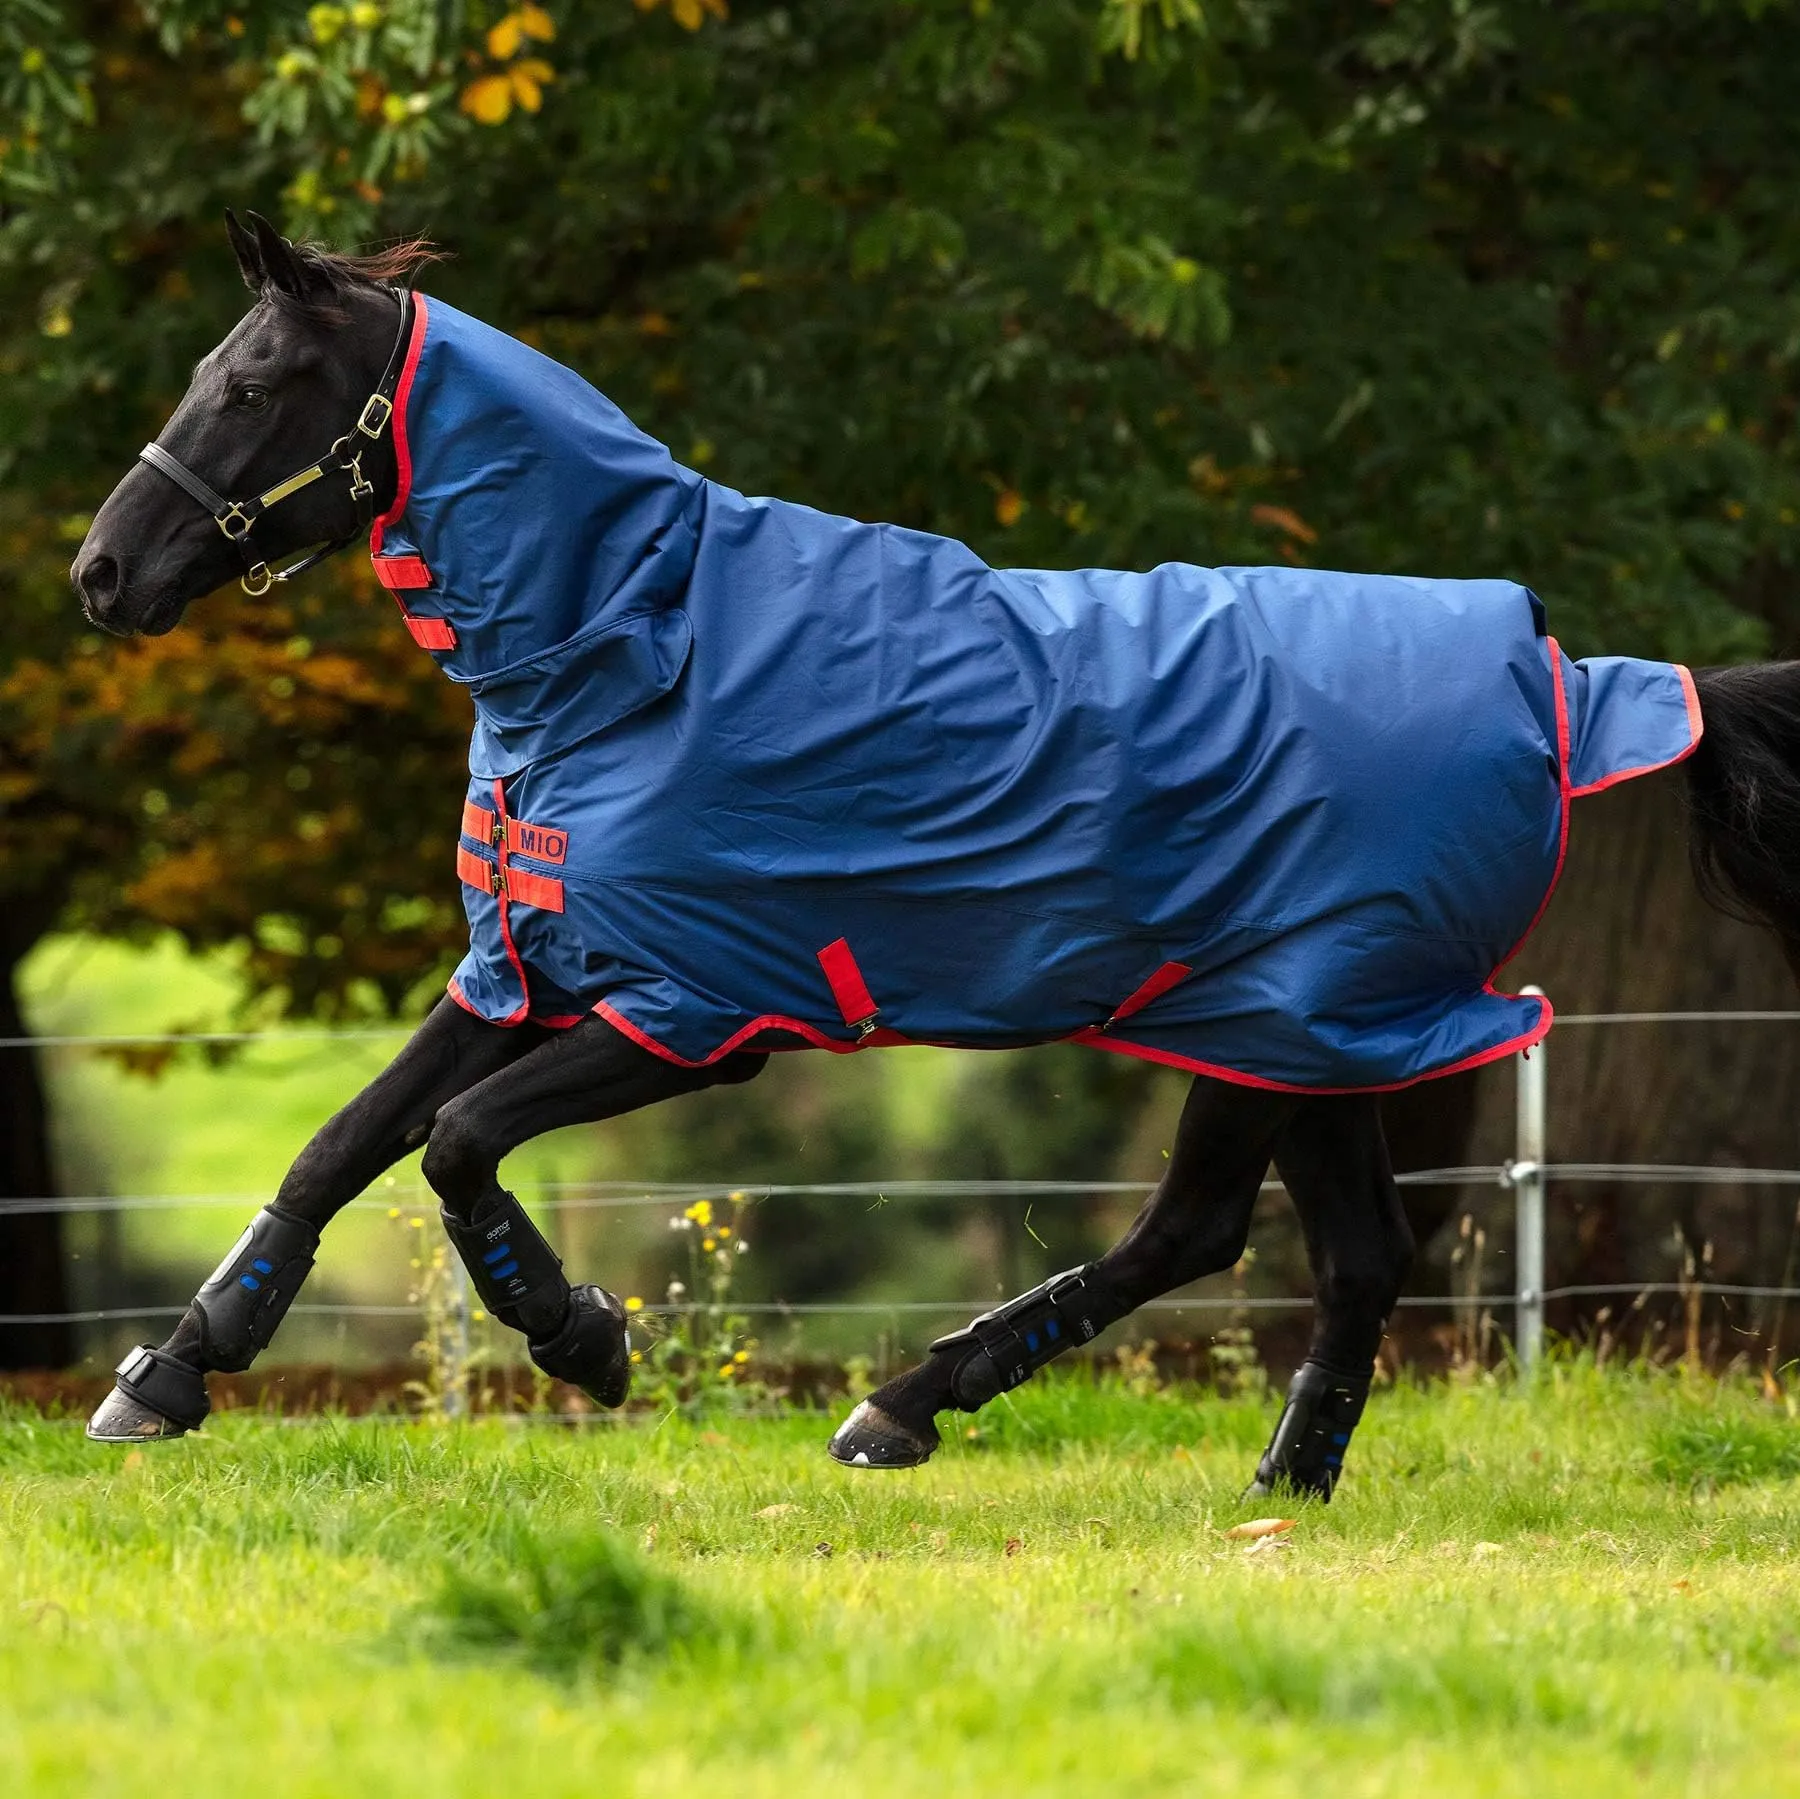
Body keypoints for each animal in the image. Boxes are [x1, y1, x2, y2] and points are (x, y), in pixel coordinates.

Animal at [68, 214, 1799, 1497]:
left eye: (251, 383)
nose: (100, 573)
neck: (635, 644)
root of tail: (1567, 675)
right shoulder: (525, 971)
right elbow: (342, 1143)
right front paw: (171, 1371)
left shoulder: (695, 1015)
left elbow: (456, 1145)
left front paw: (582, 1337)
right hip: (1291, 1032)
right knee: (1299, 1243)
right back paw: (1205, 1462)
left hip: (1289, 1016)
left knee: (1256, 1237)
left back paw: (956, 1413)